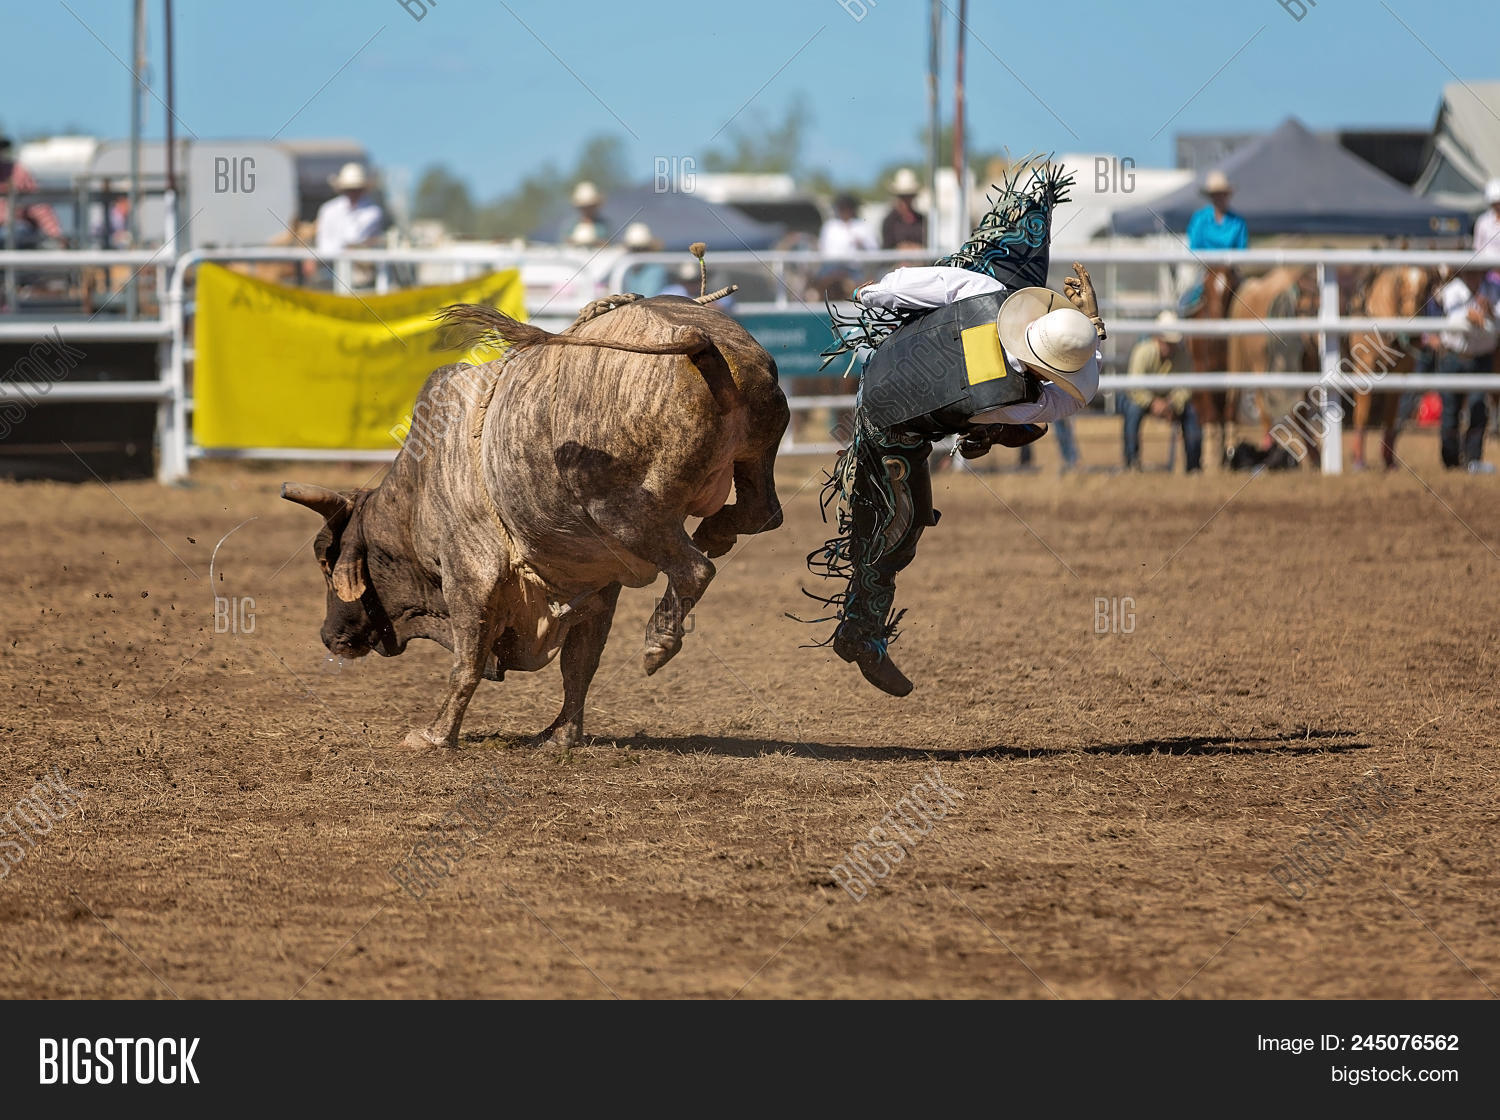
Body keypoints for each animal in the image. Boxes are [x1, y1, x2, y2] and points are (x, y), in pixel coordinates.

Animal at [282, 294, 789, 750]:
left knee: (694, 568)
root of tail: (705, 346)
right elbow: (580, 663)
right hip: (751, 452)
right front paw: (561, 734)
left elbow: (468, 661)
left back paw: (660, 638)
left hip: (621, 510)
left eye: (326, 564)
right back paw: (719, 530)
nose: (328, 636)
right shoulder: (598, 587)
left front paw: (434, 735)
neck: (418, 488)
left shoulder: (470, 573)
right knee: (763, 512)